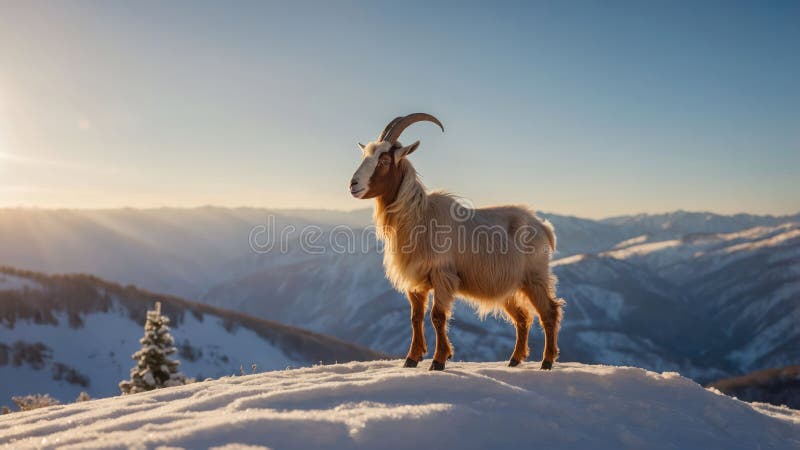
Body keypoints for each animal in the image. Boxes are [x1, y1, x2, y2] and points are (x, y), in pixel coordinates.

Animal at [350, 113, 565, 371]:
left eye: (383, 161)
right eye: (365, 156)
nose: (353, 185)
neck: (420, 216)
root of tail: (543, 226)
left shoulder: (443, 275)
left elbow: (437, 317)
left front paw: (439, 360)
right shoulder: (416, 281)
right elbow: (415, 317)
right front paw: (412, 359)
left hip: (535, 277)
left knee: (549, 313)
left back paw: (547, 361)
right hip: (509, 286)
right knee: (522, 318)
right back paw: (514, 360)